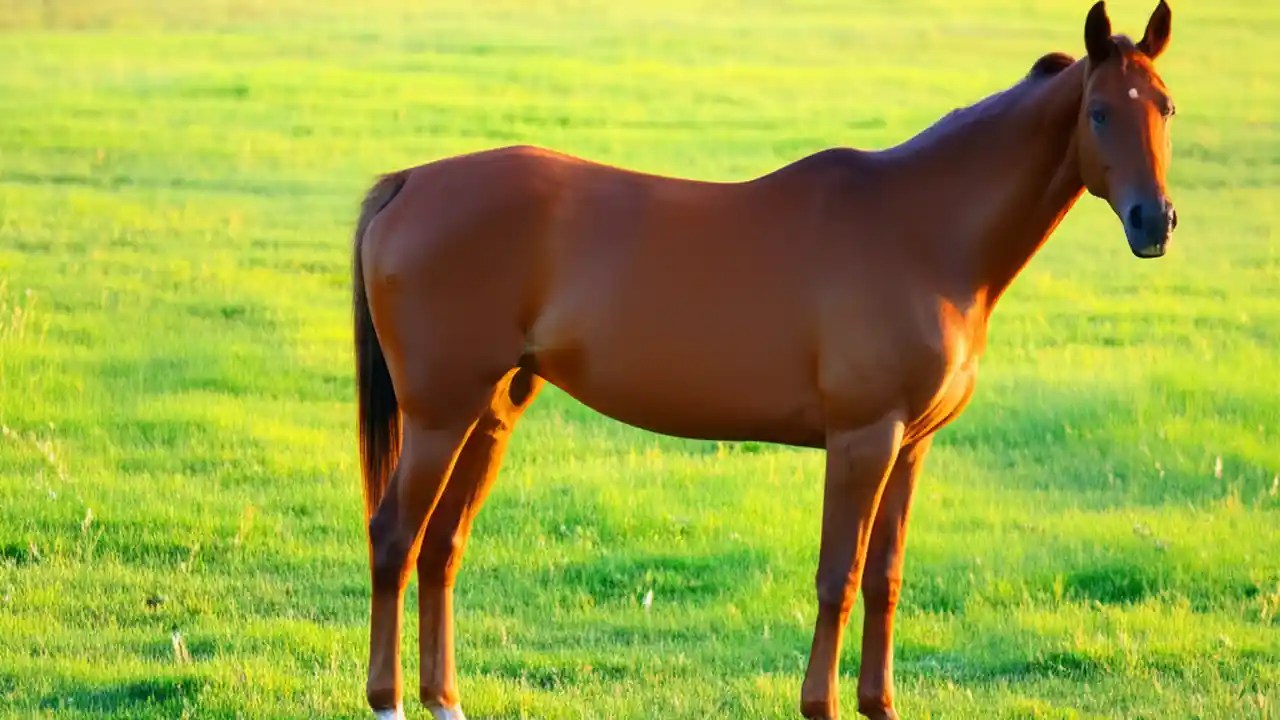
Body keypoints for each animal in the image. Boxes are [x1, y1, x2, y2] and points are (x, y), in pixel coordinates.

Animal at [349, 2, 1177, 718]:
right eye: (1100, 113)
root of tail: (409, 182)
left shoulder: (910, 446)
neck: (922, 230)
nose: (1154, 222)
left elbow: (884, 578)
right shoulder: (862, 439)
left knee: (441, 547)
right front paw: (821, 705)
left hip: (491, 411)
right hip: (438, 415)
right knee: (395, 538)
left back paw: (445, 700)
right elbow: (839, 576)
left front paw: (879, 704)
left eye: (1165, 107)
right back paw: (388, 700)